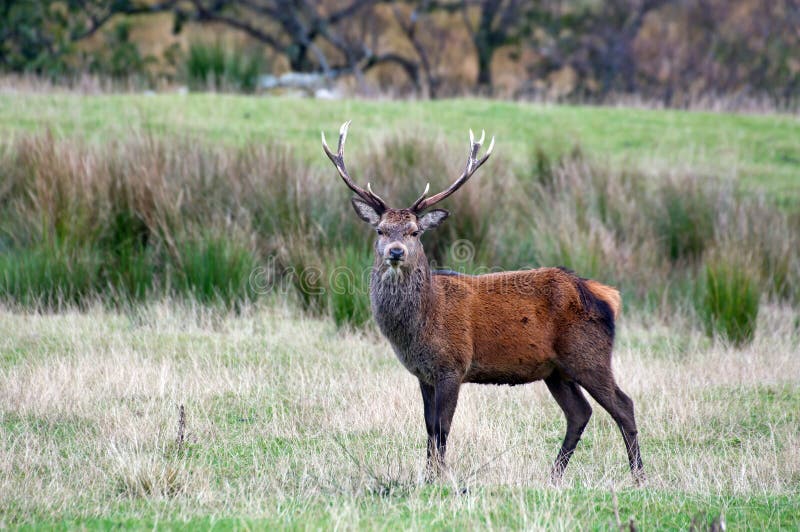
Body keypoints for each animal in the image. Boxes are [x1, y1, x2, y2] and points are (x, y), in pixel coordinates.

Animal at [322, 121, 645, 485]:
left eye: (415, 232)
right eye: (380, 230)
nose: (395, 252)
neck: (422, 324)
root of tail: (606, 295)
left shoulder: (453, 365)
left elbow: (443, 427)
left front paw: (441, 478)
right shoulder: (424, 374)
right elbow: (428, 427)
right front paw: (427, 476)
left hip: (589, 354)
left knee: (624, 405)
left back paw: (639, 477)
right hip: (556, 370)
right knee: (580, 412)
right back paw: (553, 476)